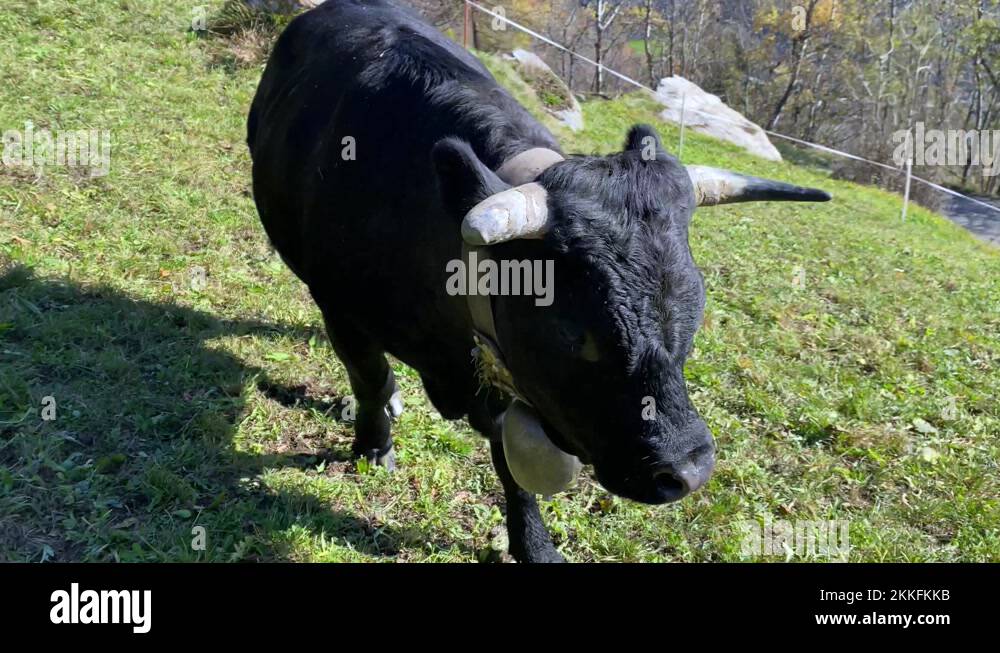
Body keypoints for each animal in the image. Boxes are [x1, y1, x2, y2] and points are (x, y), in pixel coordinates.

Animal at [247, 0, 830, 562]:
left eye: (694, 316)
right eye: (572, 332)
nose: (687, 471)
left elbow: (511, 463)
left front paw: (534, 544)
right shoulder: (338, 305)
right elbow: (370, 379)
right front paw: (374, 447)